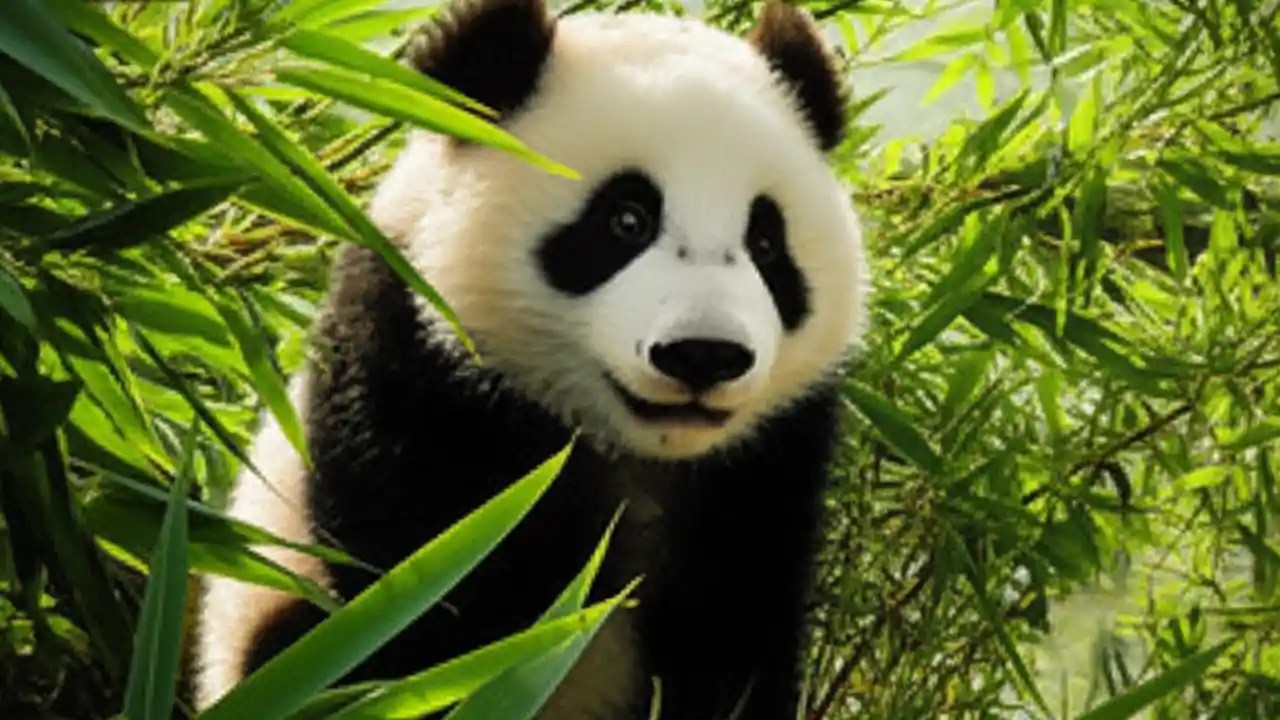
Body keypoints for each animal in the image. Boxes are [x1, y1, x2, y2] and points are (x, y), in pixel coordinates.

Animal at [194, 0, 870, 717]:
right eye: (626, 220)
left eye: (767, 242)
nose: (704, 355)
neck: (630, 448)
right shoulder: (414, 381)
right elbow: (429, 615)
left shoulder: (766, 464)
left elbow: (732, 633)